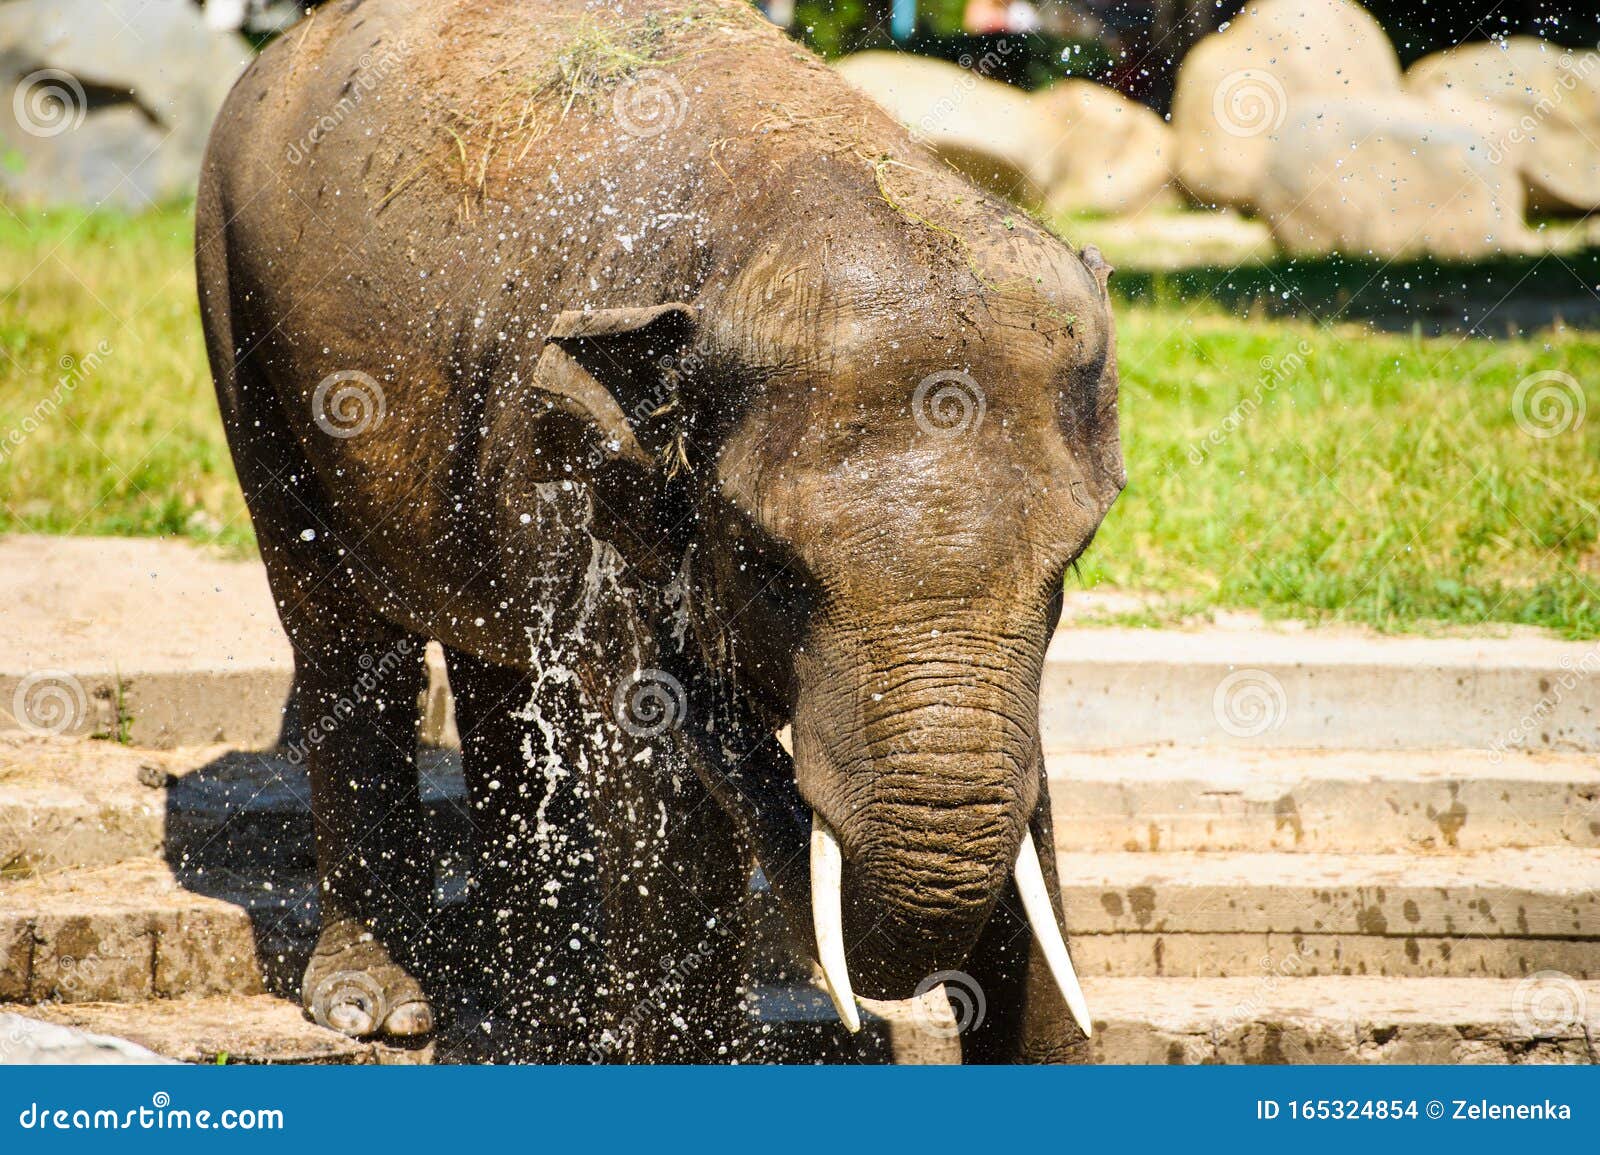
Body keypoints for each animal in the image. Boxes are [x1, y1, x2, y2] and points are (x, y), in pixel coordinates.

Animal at [195, 0, 1123, 1063]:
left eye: (1070, 563)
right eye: (770, 564)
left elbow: (1027, 817)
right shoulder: (578, 468)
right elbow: (658, 769)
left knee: (500, 666)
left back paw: (542, 1013)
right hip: (239, 318)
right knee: (338, 630)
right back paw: (382, 1008)